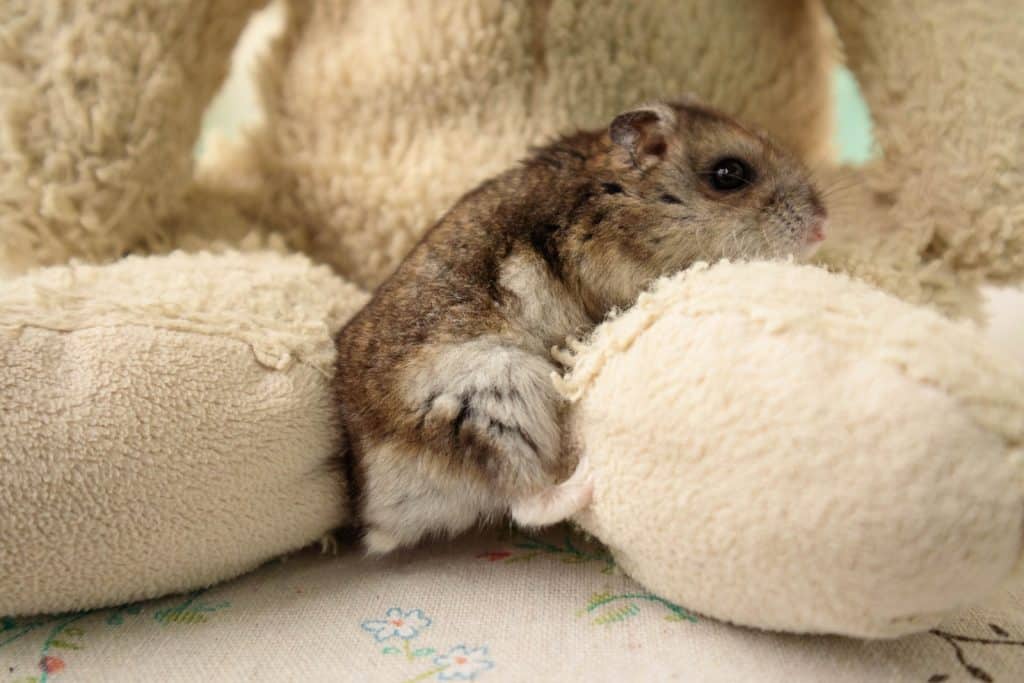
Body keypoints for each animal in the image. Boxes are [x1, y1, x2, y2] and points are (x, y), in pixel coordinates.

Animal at [334, 100, 827, 554]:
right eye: (729, 173)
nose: (823, 227)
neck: (621, 194)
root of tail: (378, 512)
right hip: (496, 393)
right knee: (527, 501)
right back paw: (590, 473)